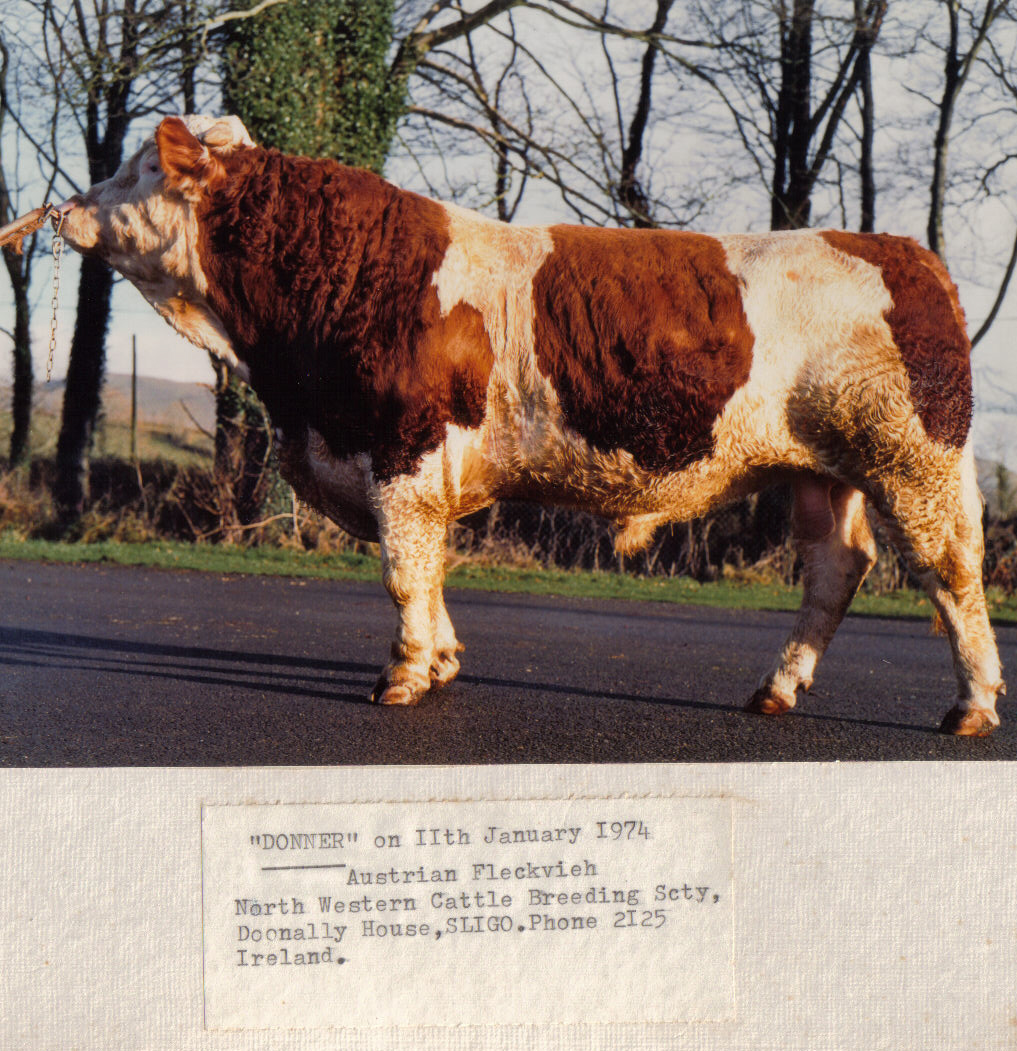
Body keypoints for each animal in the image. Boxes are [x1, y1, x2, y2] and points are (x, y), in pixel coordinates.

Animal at [49, 113, 1004, 735]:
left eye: (134, 170)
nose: (61, 206)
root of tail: (901, 250)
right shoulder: (408, 470)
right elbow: (431, 574)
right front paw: (438, 662)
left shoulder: (402, 453)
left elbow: (404, 574)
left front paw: (402, 677)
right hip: (821, 471)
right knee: (835, 569)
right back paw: (776, 688)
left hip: (909, 459)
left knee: (950, 570)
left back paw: (971, 704)